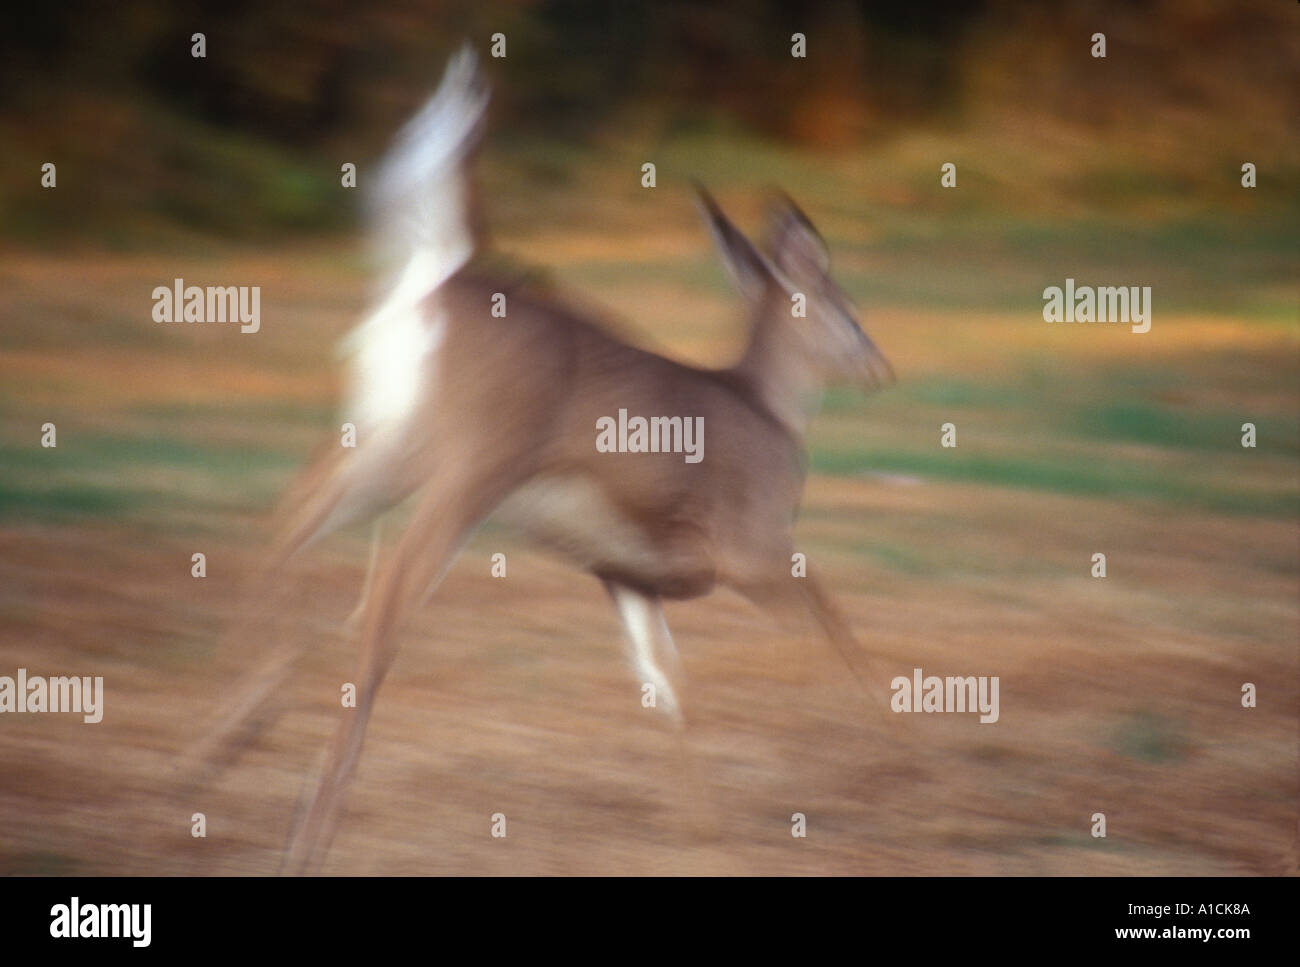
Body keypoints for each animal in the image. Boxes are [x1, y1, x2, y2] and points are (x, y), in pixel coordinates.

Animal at [190, 45, 895, 874]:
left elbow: (670, 689)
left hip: (385, 444)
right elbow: (831, 627)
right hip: (473, 464)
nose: (881, 367)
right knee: (379, 603)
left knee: (288, 523)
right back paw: (304, 825)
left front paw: (702, 831)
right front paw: (888, 752)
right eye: (852, 314)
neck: (766, 407)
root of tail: (438, 283)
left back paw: (219, 745)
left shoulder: (627, 572)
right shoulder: (752, 543)